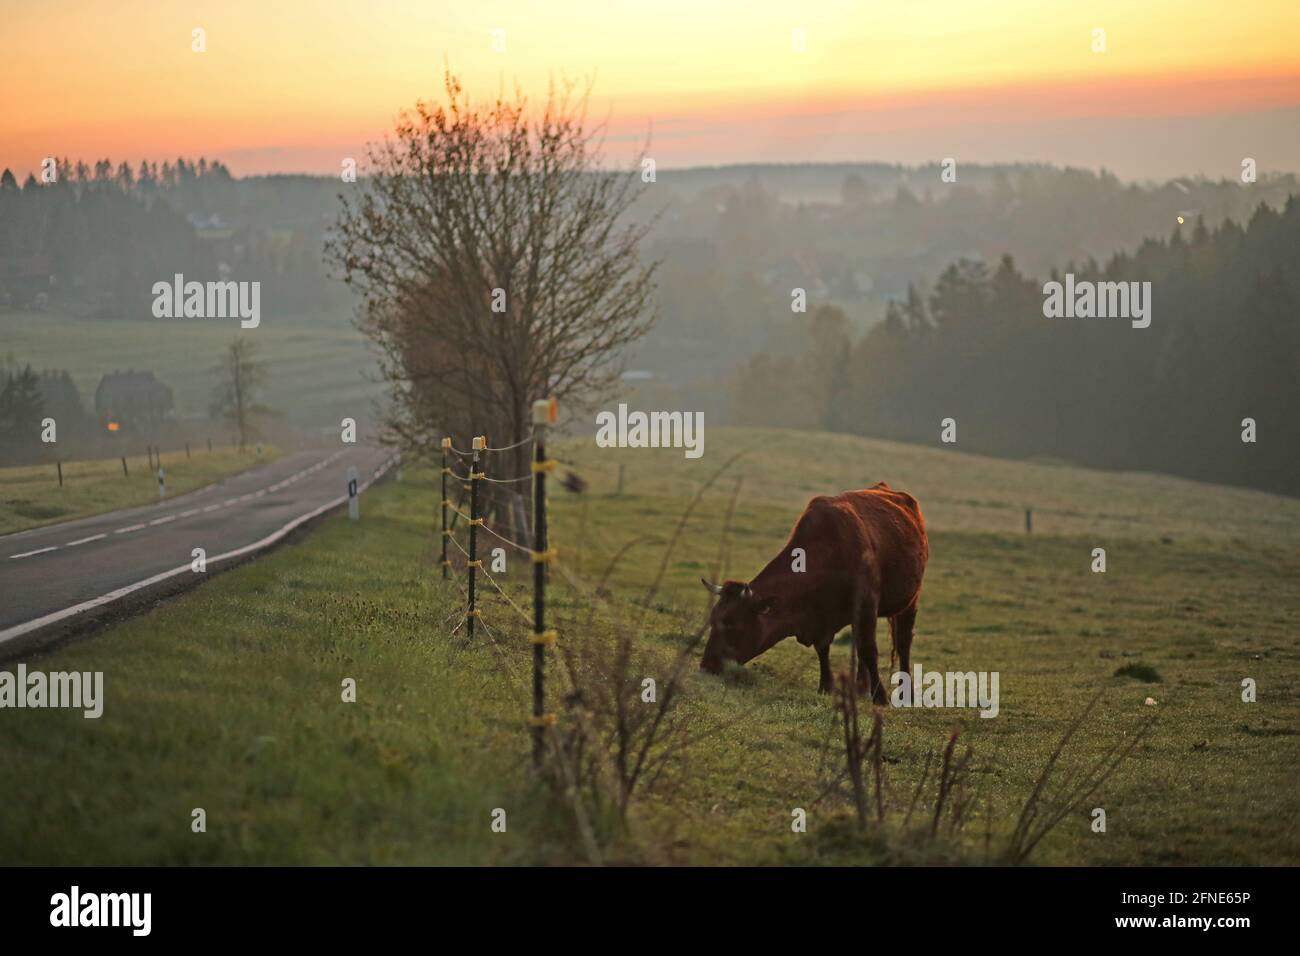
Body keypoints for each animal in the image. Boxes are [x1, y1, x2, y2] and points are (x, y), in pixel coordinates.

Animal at [700, 482, 928, 701]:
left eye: (731, 625)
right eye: (712, 621)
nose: (705, 667)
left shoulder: (866, 605)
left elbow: (868, 650)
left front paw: (880, 696)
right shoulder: (824, 619)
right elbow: (825, 649)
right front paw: (826, 686)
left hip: (911, 600)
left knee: (903, 641)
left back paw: (905, 692)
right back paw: (861, 687)